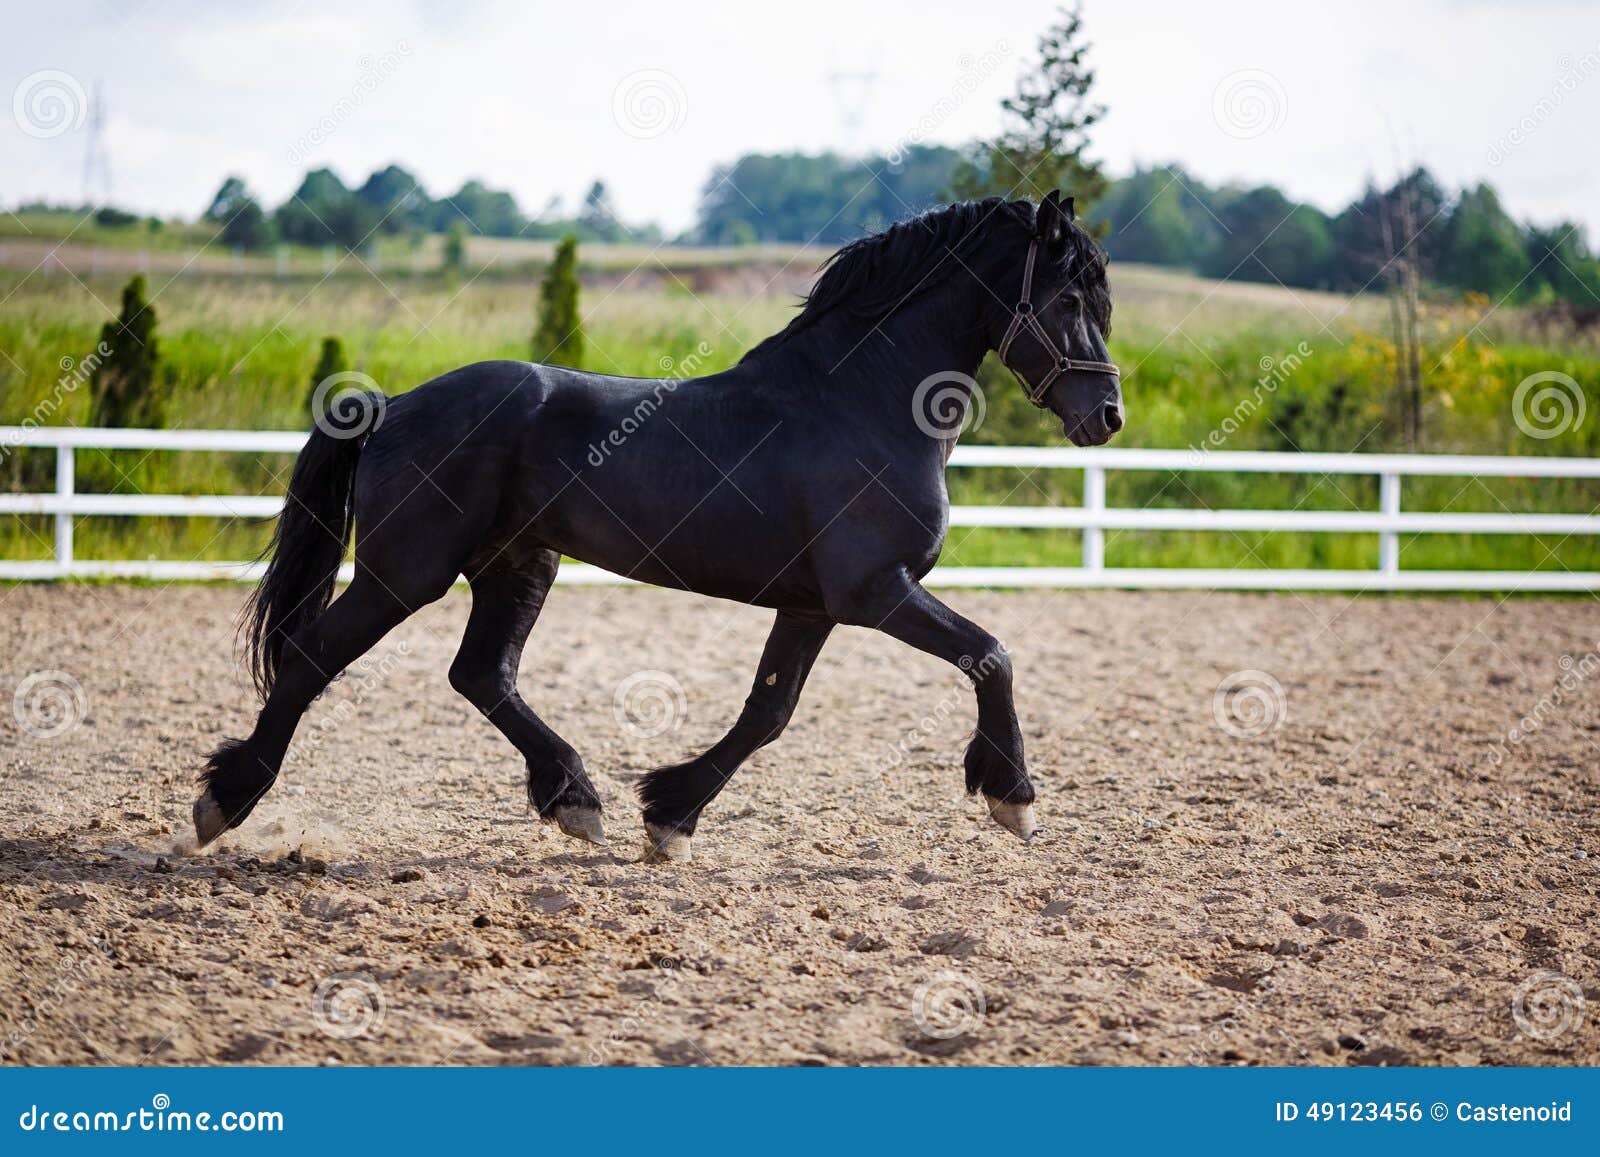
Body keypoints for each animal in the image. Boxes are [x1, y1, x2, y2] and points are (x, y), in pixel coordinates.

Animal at [195, 189, 1122, 863]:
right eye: (1069, 295)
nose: (1106, 415)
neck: (864, 403)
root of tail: (394, 404)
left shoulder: (814, 605)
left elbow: (767, 713)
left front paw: (670, 814)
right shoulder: (873, 591)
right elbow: (992, 654)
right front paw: (1013, 799)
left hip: (517, 564)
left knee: (482, 674)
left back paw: (575, 799)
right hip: (406, 570)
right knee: (314, 655)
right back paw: (222, 800)